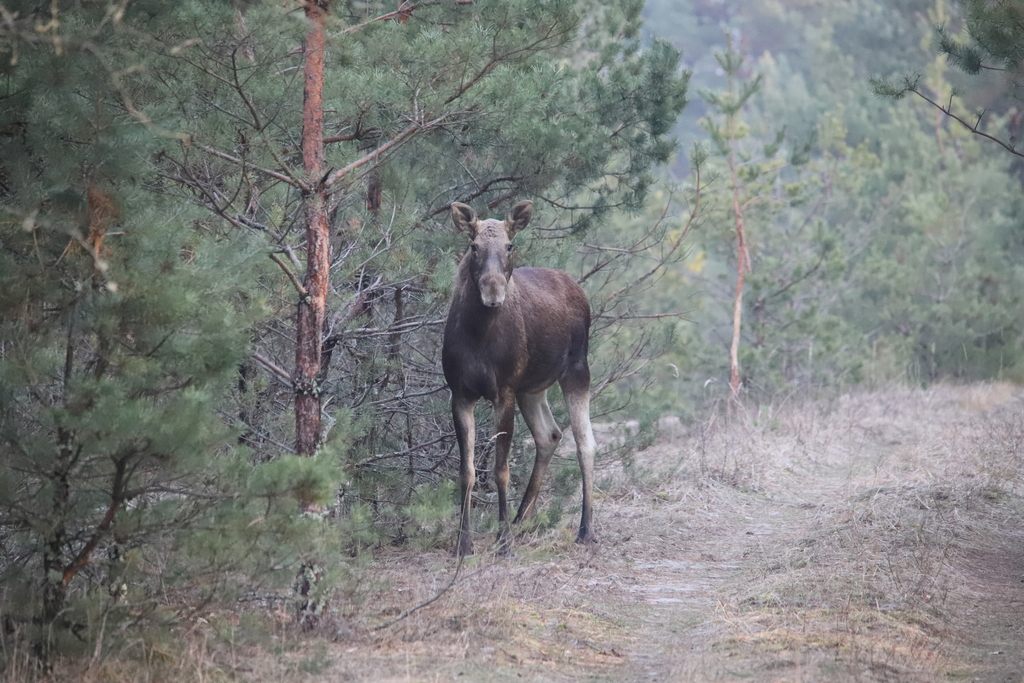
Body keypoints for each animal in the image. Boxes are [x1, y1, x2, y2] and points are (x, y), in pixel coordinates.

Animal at [442, 200, 597, 556]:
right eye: (474, 246)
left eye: (509, 246)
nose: (493, 293)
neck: (478, 335)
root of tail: (576, 286)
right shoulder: (460, 393)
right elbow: (466, 471)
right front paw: (463, 543)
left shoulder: (505, 391)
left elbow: (501, 470)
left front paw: (503, 543)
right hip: (532, 388)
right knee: (550, 434)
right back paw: (520, 520)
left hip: (576, 369)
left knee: (585, 443)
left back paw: (585, 530)